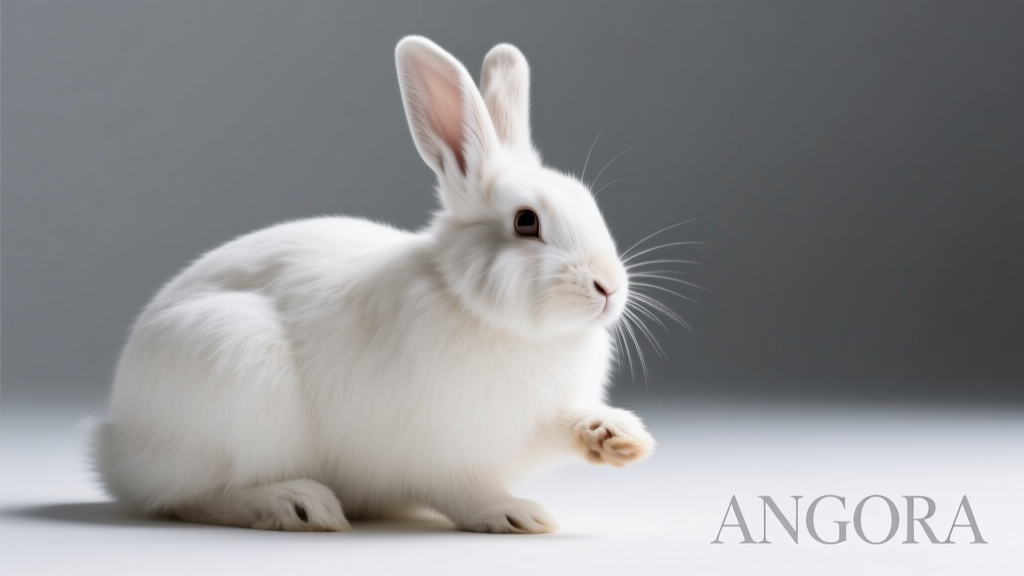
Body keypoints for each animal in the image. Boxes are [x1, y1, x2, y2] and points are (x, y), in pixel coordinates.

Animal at [87, 36, 655, 534]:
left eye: (587, 202)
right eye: (525, 222)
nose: (609, 288)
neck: (478, 310)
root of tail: (117, 441)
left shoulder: (535, 421)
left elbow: (566, 422)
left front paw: (618, 437)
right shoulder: (441, 449)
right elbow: (466, 492)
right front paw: (513, 514)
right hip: (234, 378)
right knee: (187, 498)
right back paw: (297, 505)